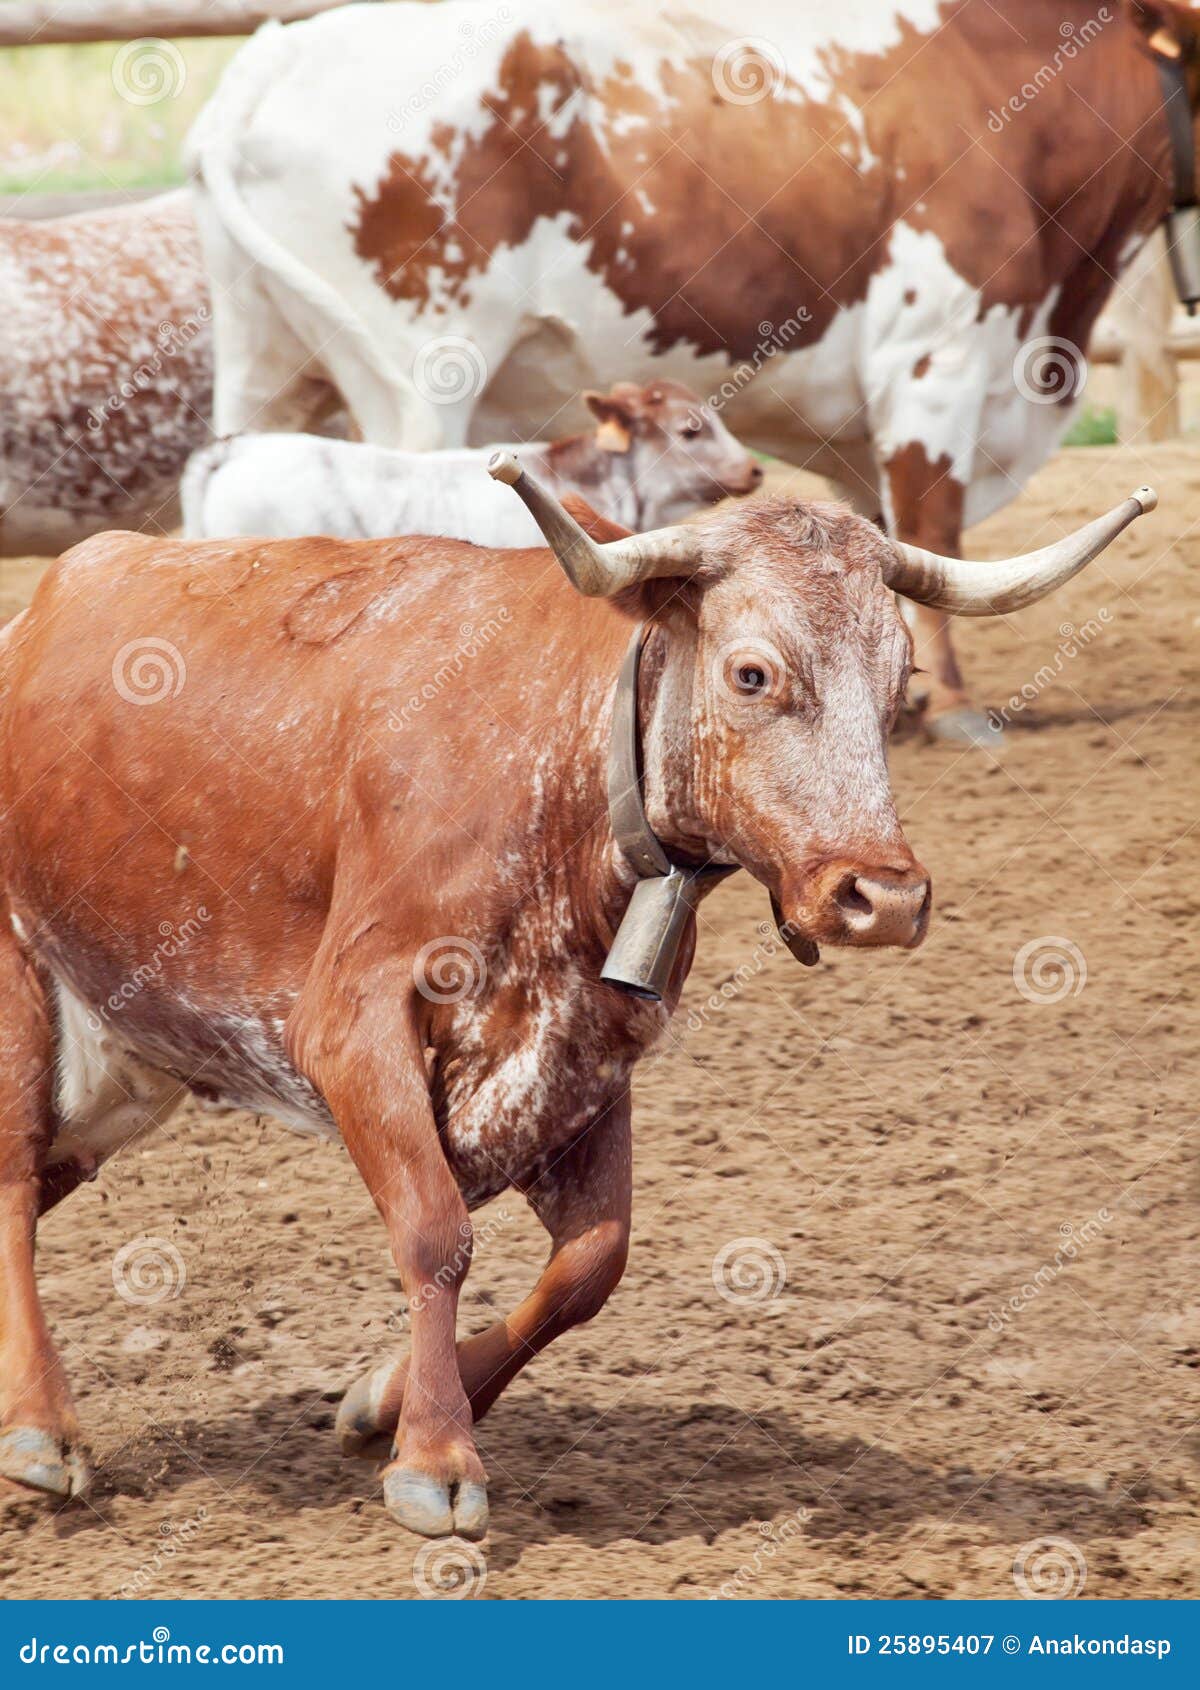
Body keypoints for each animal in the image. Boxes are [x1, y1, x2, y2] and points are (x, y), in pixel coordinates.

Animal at [0, 464, 1151, 1536]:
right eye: (752, 672)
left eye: (901, 673)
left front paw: (387, 1401)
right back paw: (44, 1431)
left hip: (118, 1074)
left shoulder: (590, 1052)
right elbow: (436, 1230)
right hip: (22, 1007)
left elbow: (593, 1262)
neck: (565, 768)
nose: (885, 896)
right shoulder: (351, 1022)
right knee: (11, 1185)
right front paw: (435, 1455)